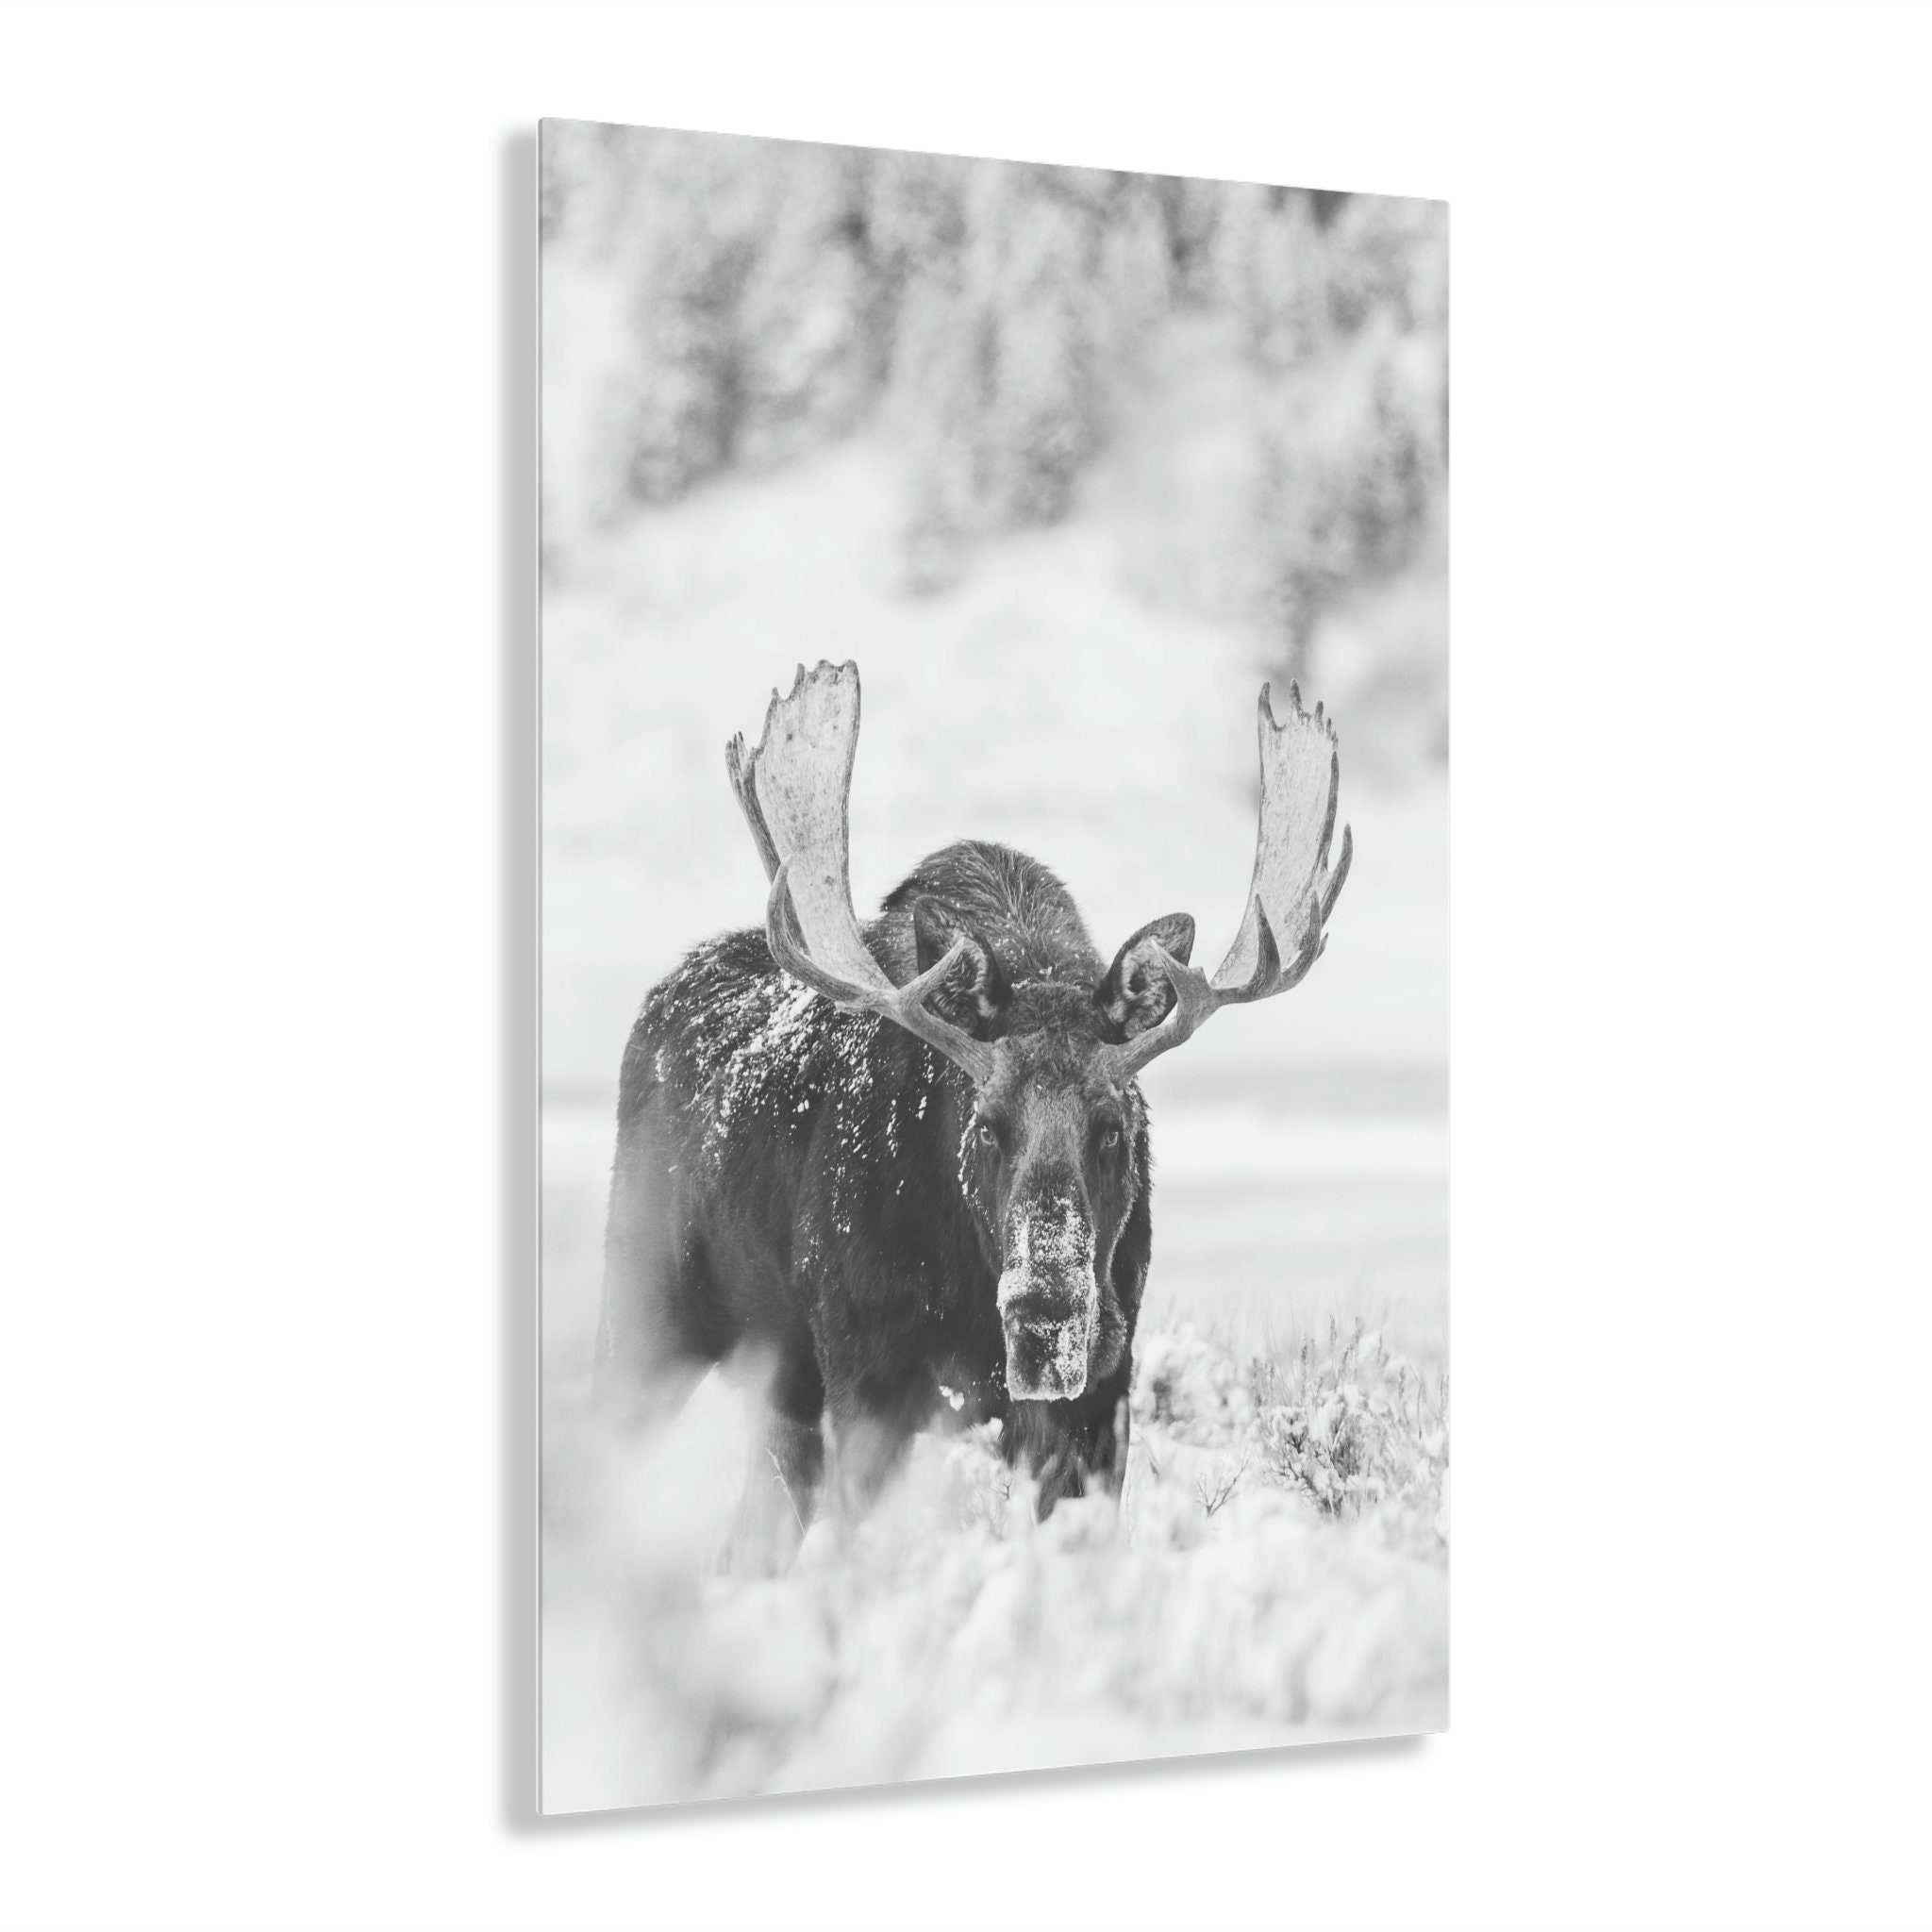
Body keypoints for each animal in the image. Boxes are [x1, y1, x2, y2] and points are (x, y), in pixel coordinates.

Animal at [595, 660, 1349, 1562]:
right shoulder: (868, 1376)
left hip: (778, 1376)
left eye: (1116, 1127)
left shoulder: (1102, 1394)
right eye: (985, 1125)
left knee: (755, 1535)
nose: (1045, 1313)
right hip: (650, 1317)